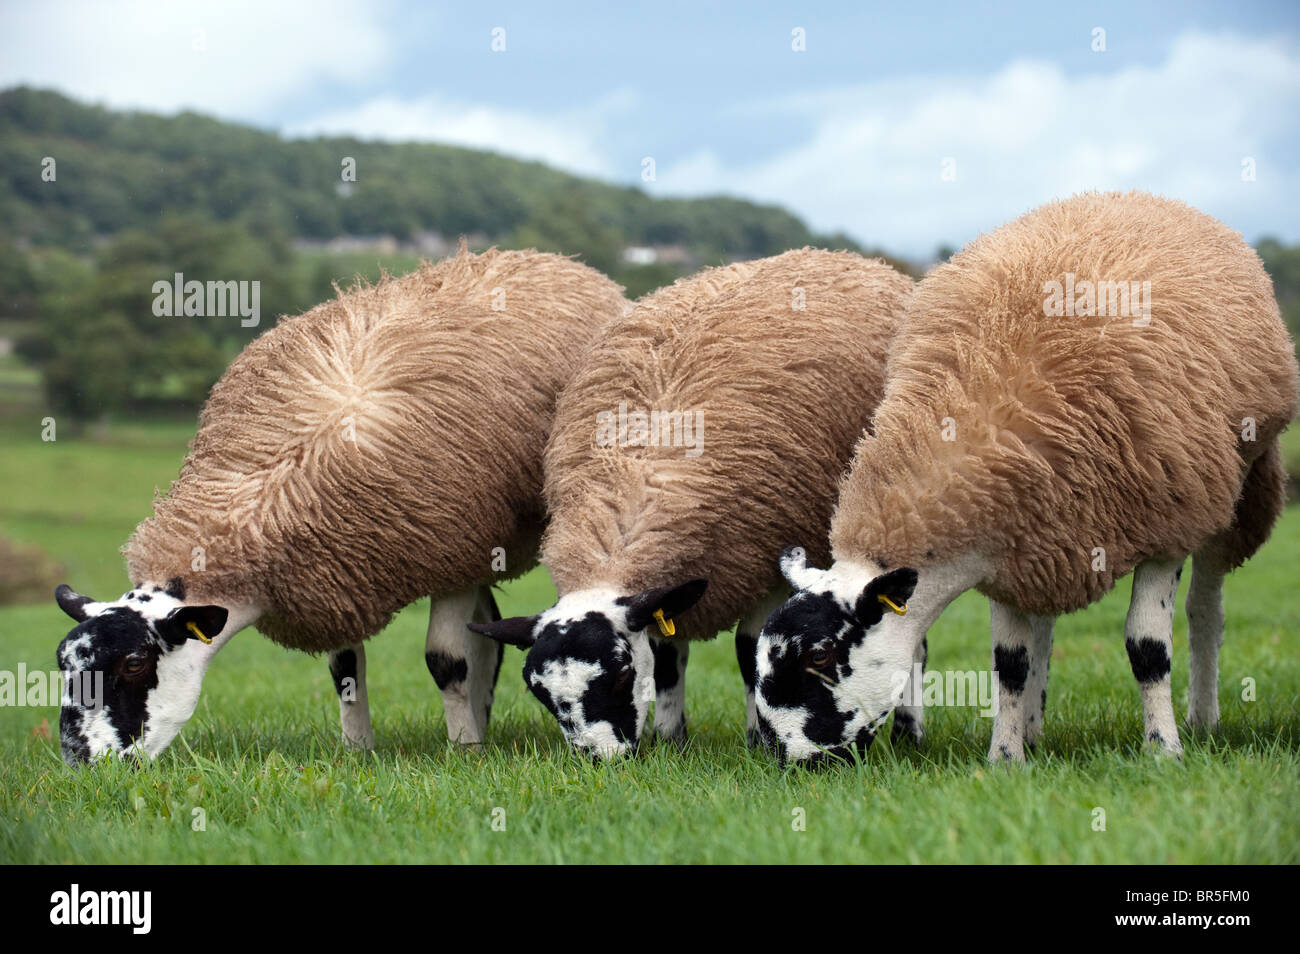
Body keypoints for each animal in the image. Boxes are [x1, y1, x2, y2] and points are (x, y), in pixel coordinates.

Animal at [52, 247, 628, 764]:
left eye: (133, 663)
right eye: (64, 667)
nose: (81, 762)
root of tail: (559, 260)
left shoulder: (454, 554)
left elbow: (445, 661)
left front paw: (465, 751)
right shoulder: (333, 580)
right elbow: (346, 671)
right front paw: (358, 749)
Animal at [469, 248, 916, 757]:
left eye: (621, 675)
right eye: (540, 694)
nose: (600, 761)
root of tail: (848, 257)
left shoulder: (763, 562)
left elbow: (749, 650)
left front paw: (756, 739)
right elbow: (666, 658)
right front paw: (671, 739)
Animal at [755, 191, 1299, 765]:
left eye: (821, 654)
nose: (778, 758)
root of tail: (1133, 195)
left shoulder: (1164, 530)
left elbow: (1148, 650)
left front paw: (1163, 751)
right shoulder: (1013, 545)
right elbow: (1011, 661)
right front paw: (1005, 759)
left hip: (1233, 484)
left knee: (1205, 609)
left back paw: (1201, 719)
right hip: (1053, 540)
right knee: (1044, 628)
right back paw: (1035, 730)